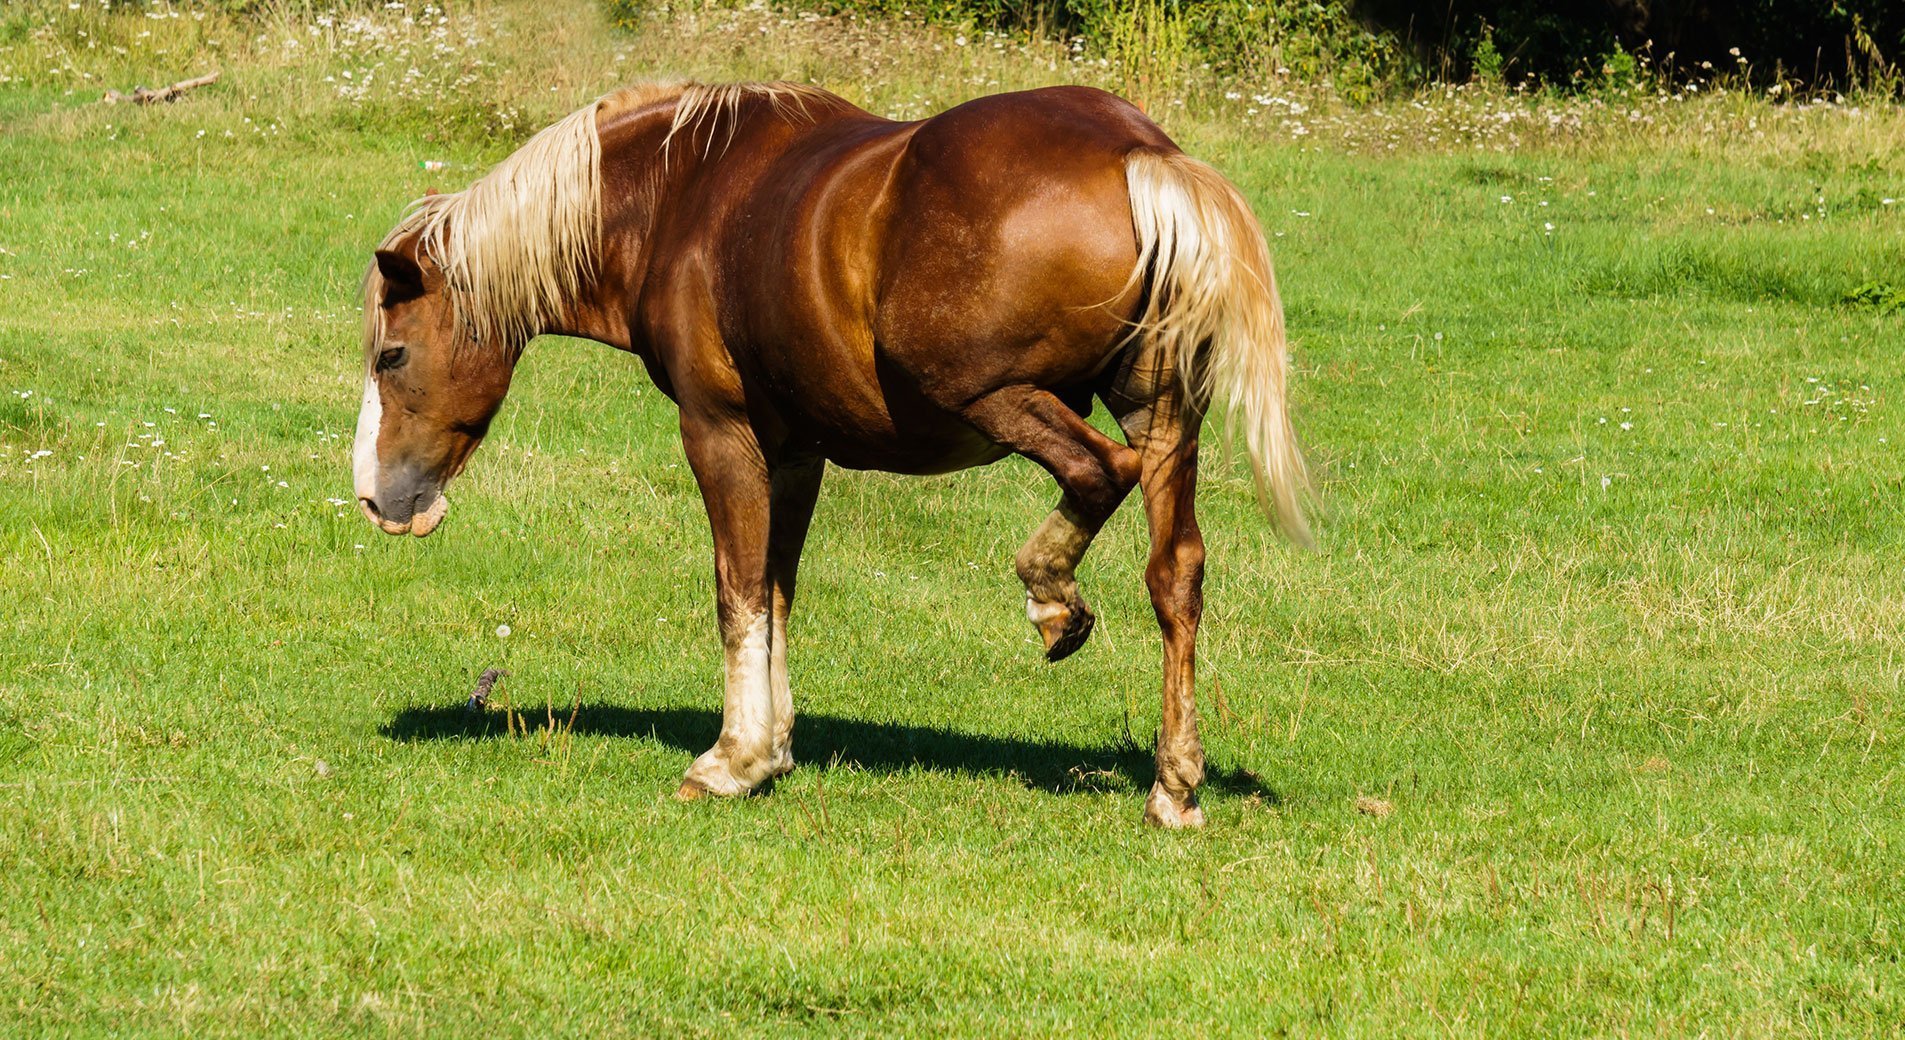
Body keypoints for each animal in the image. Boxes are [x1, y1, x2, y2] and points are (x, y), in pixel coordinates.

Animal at [353, 81, 1309, 827]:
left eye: (391, 356)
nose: (375, 498)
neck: (679, 196)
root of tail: (1139, 150)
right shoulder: (794, 455)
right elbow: (777, 591)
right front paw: (773, 748)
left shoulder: (720, 434)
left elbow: (737, 592)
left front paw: (732, 759)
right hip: (1161, 416)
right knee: (1174, 574)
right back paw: (1174, 784)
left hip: (995, 397)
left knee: (1097, 473)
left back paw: (1052, 599)